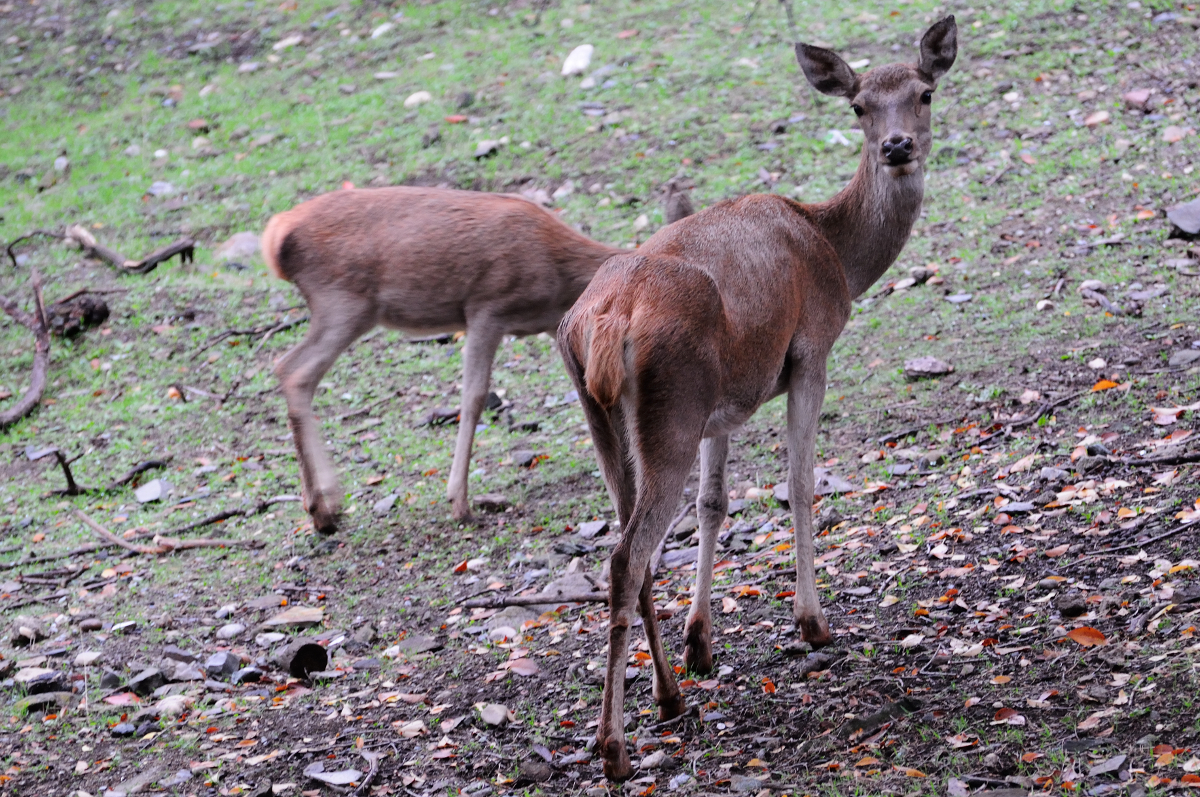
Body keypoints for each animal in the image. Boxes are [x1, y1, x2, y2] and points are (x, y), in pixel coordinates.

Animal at [261, 184, 693, 533]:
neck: (558, 277)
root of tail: (275, 237)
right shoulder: (487, 307)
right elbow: (473, 396)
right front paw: (459, 502)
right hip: (343, 302)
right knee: (295, 370)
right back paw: (323, 508)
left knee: (291, 369)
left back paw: (325, 506)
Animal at [557, 18, 957, 781]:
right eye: (858, 105)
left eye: (924, 92)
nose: (896, 146)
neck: (837, 256)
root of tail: (604, 323)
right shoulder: (810, 349)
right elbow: (799, 482)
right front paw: (814, 622)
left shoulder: (726, 404)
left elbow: (715, 504)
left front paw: (702, 643)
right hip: (671, 411)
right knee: (626, 556)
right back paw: (614, 747)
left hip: (610, 419)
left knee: (634, 544)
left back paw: (671, 696)